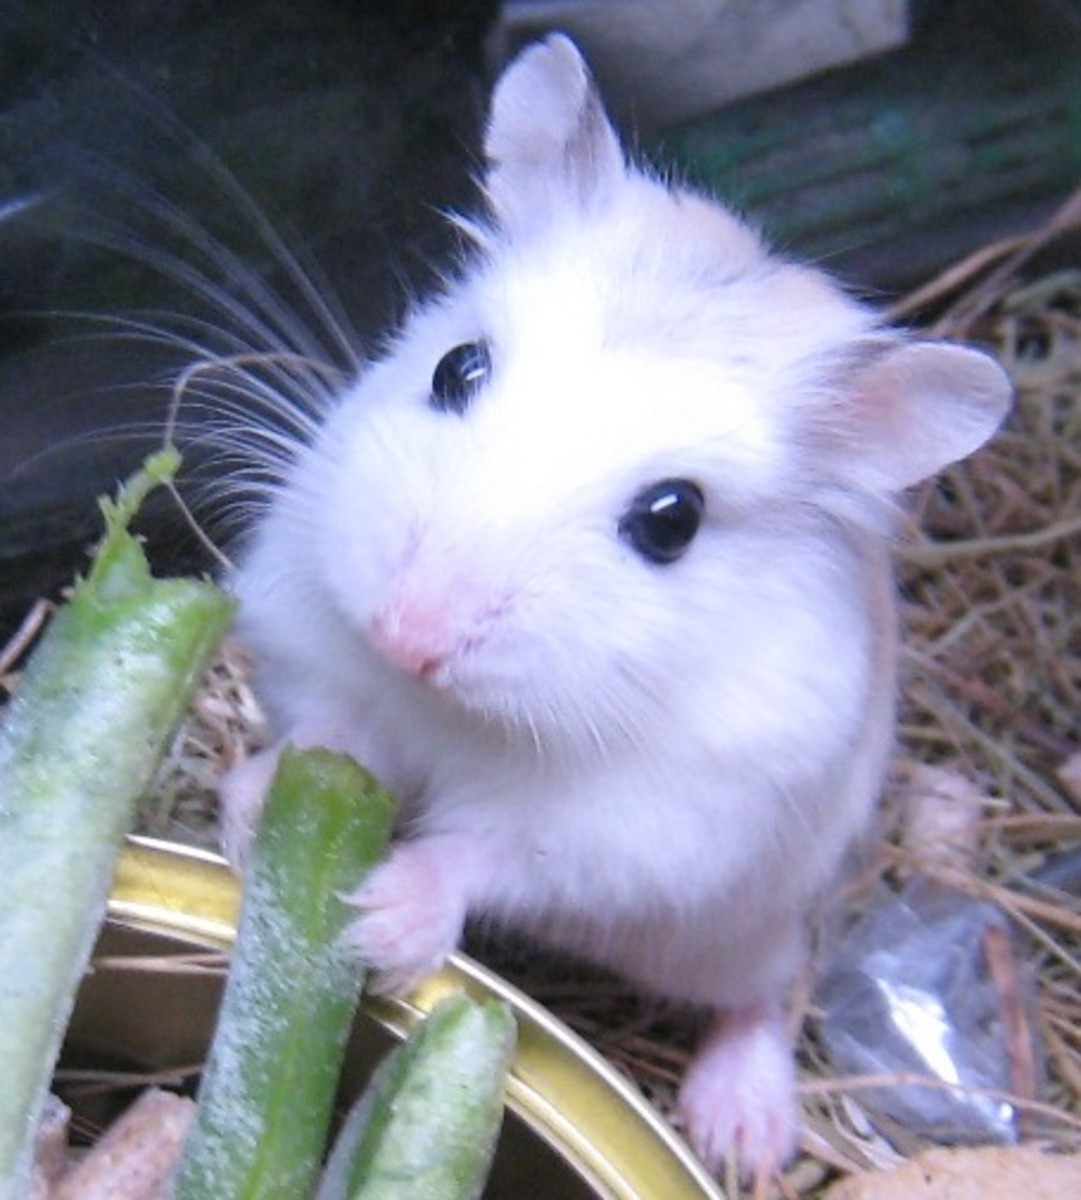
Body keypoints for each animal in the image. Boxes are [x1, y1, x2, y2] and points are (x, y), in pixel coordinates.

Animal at [220, 34, 1012, 1177]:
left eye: (672, 519)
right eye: (457, 368)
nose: (409, 638)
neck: (450, 713)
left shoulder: (630, 826)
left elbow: (490, 851)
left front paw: (377, 922)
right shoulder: (316, 651)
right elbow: (327, 735)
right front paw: (247, 812)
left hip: (739, 927)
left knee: (770, 993)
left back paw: (742, 1133)